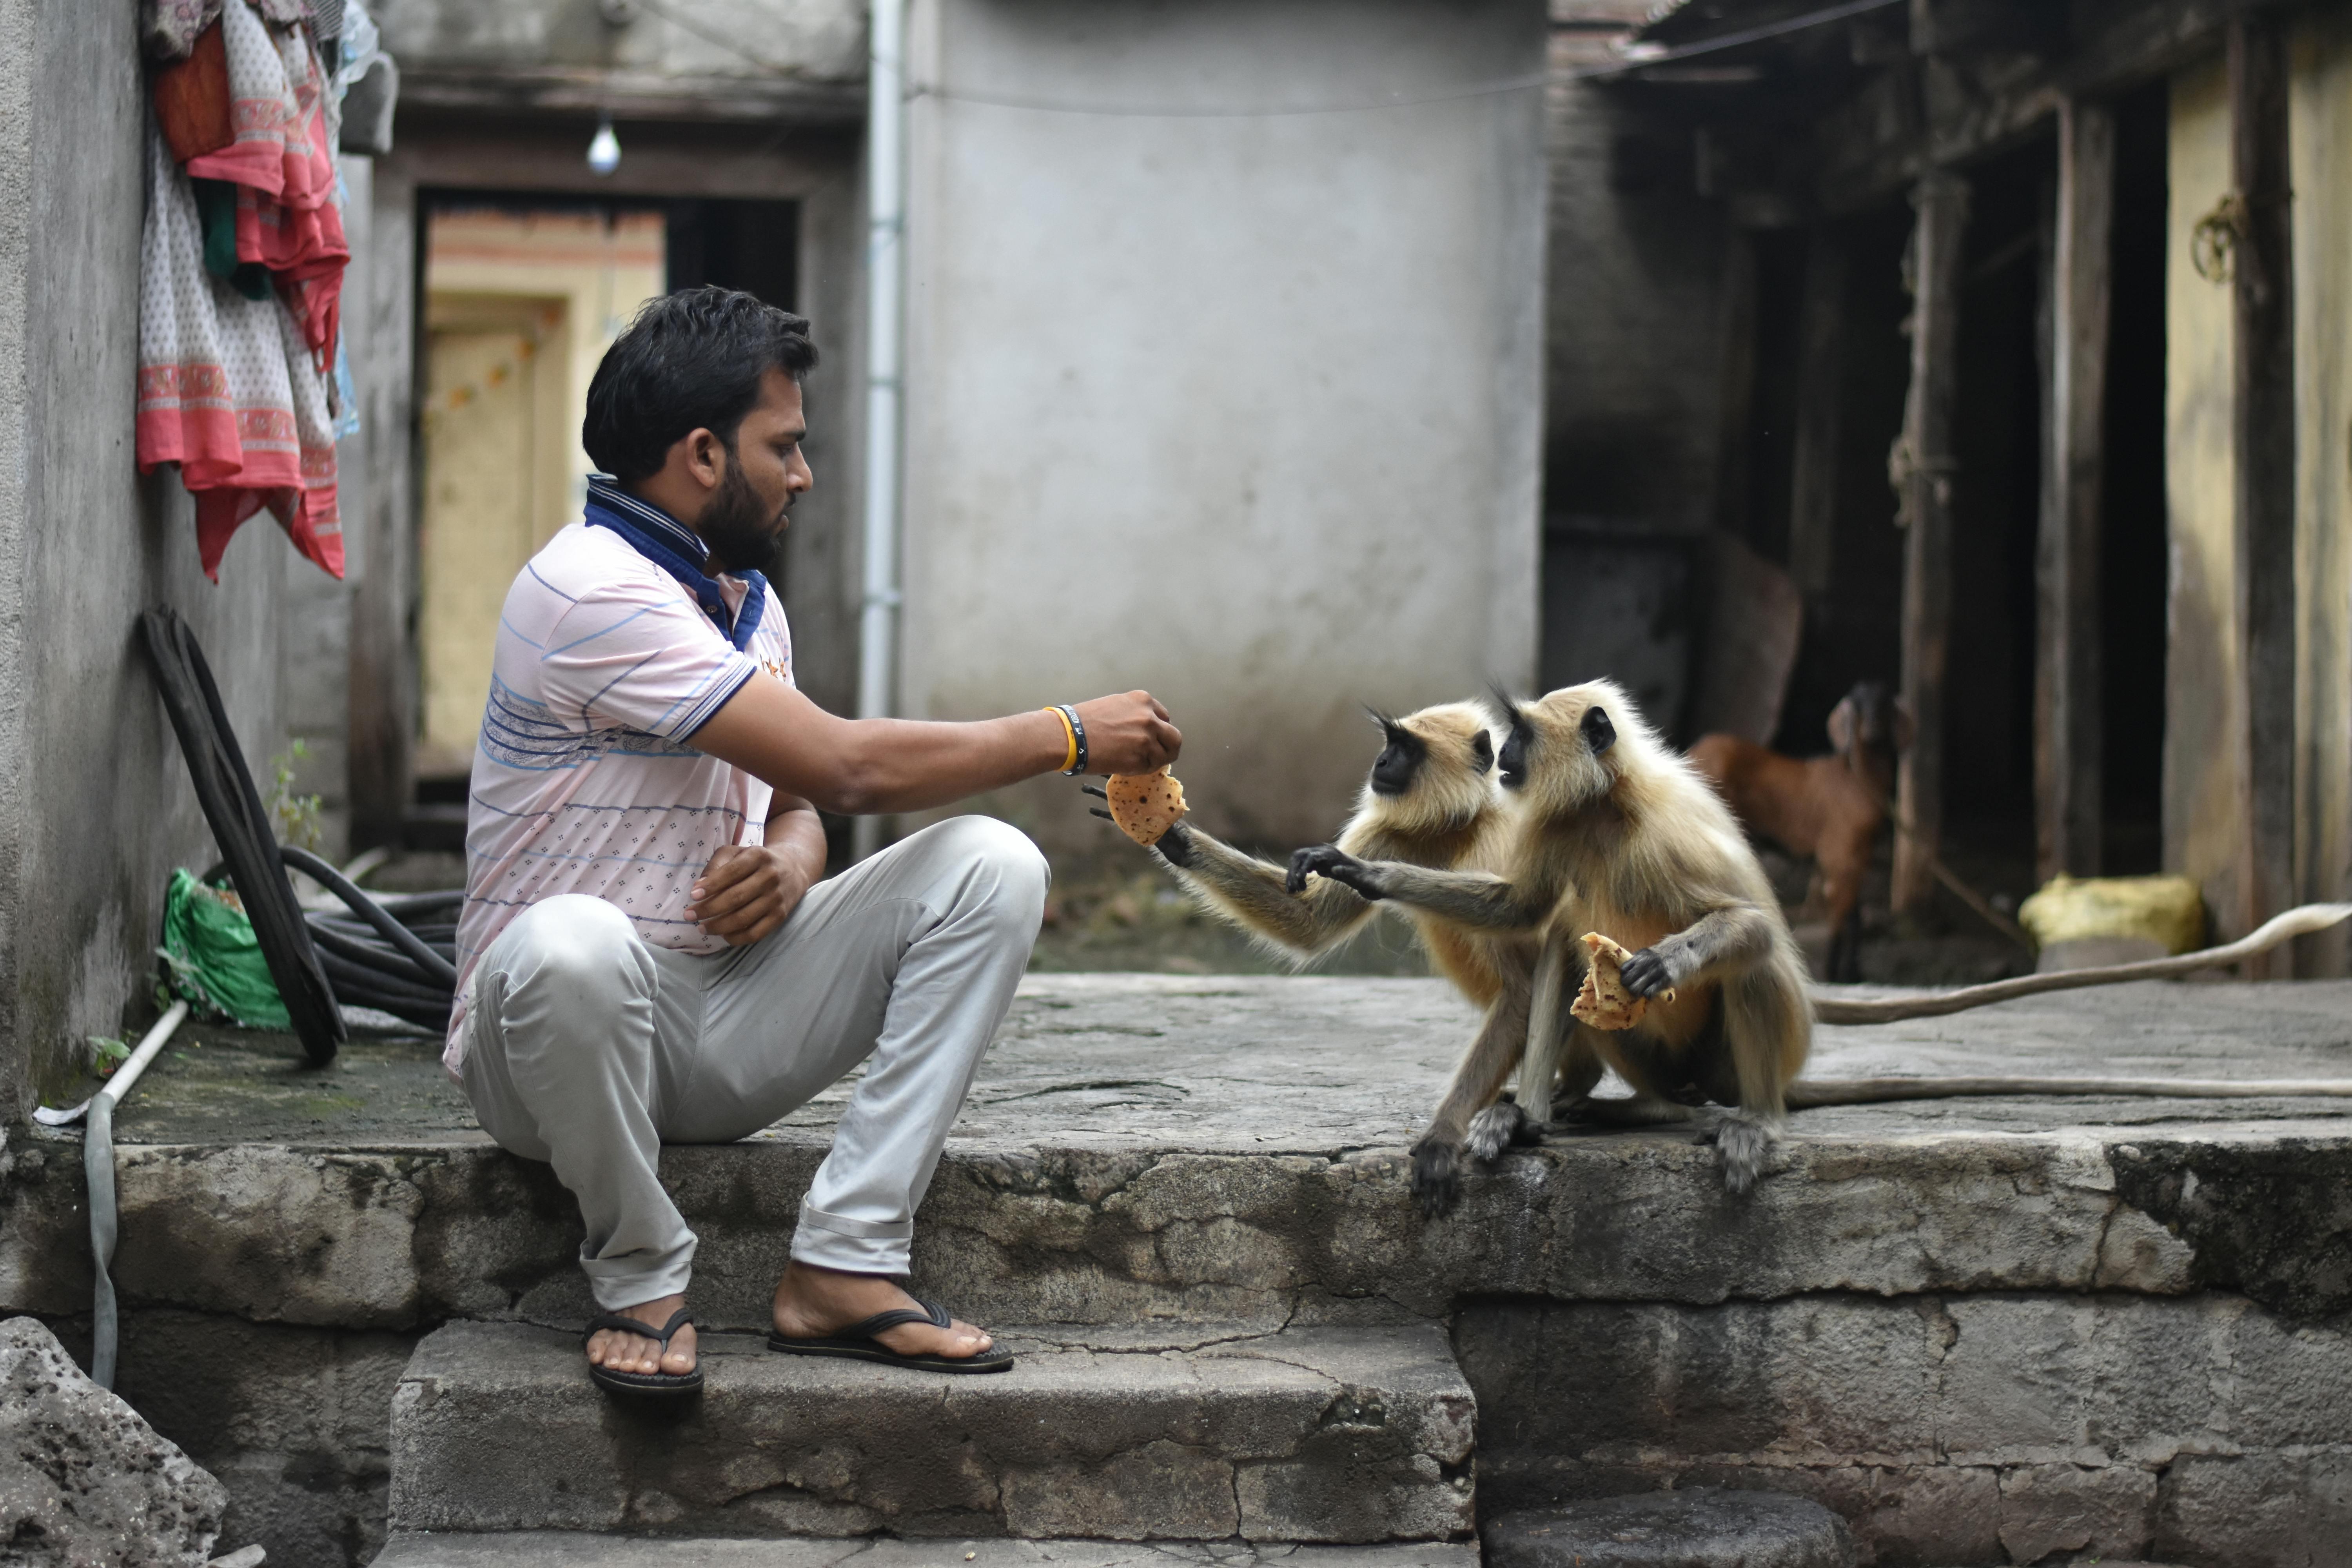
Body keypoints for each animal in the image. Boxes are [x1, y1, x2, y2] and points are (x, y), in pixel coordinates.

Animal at [1289, 679, 1814, 1197]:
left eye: (1522, 733)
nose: (1506, 752)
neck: (1608, 799)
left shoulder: (1671, 834)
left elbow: (1755, 921)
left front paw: (1663, 963)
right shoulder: (1556, 821)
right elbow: (1519, 908)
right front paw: (1368, 874)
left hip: (1736, 1060)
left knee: (1756, 959)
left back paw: (1753, 1122)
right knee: (1567, 945)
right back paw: (1537, 1119)